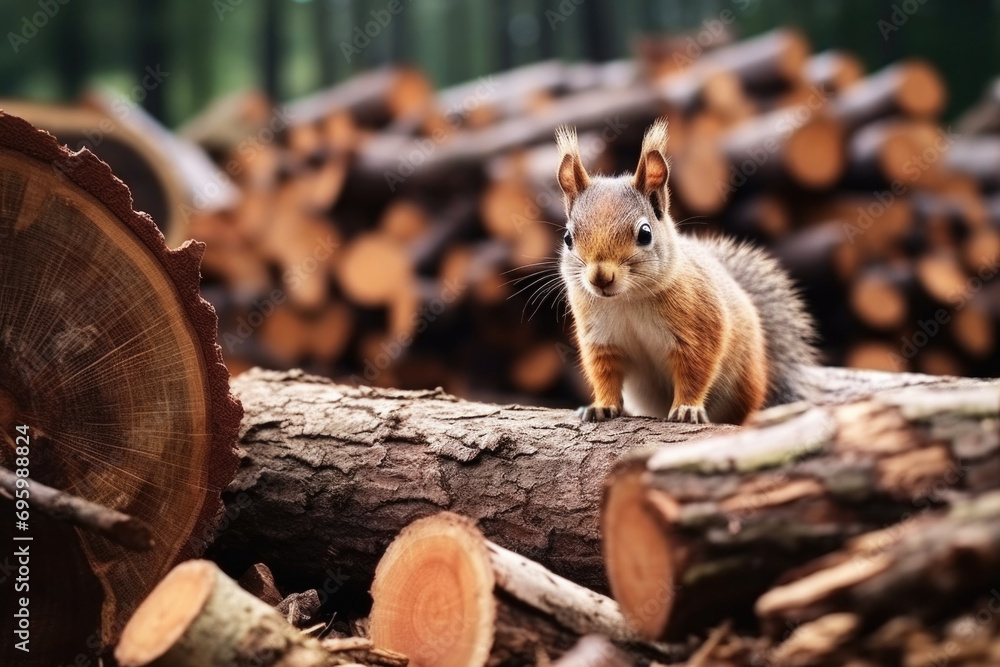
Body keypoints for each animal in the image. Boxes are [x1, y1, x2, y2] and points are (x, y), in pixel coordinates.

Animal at [555, 118, 818, 425]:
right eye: (568, 238)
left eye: (645, 234)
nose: (600, 278)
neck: (627, 300)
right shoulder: (600, 339)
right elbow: (604, 374)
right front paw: (601, 405)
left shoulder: (700, 325)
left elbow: (695, 371)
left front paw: (687, 408)